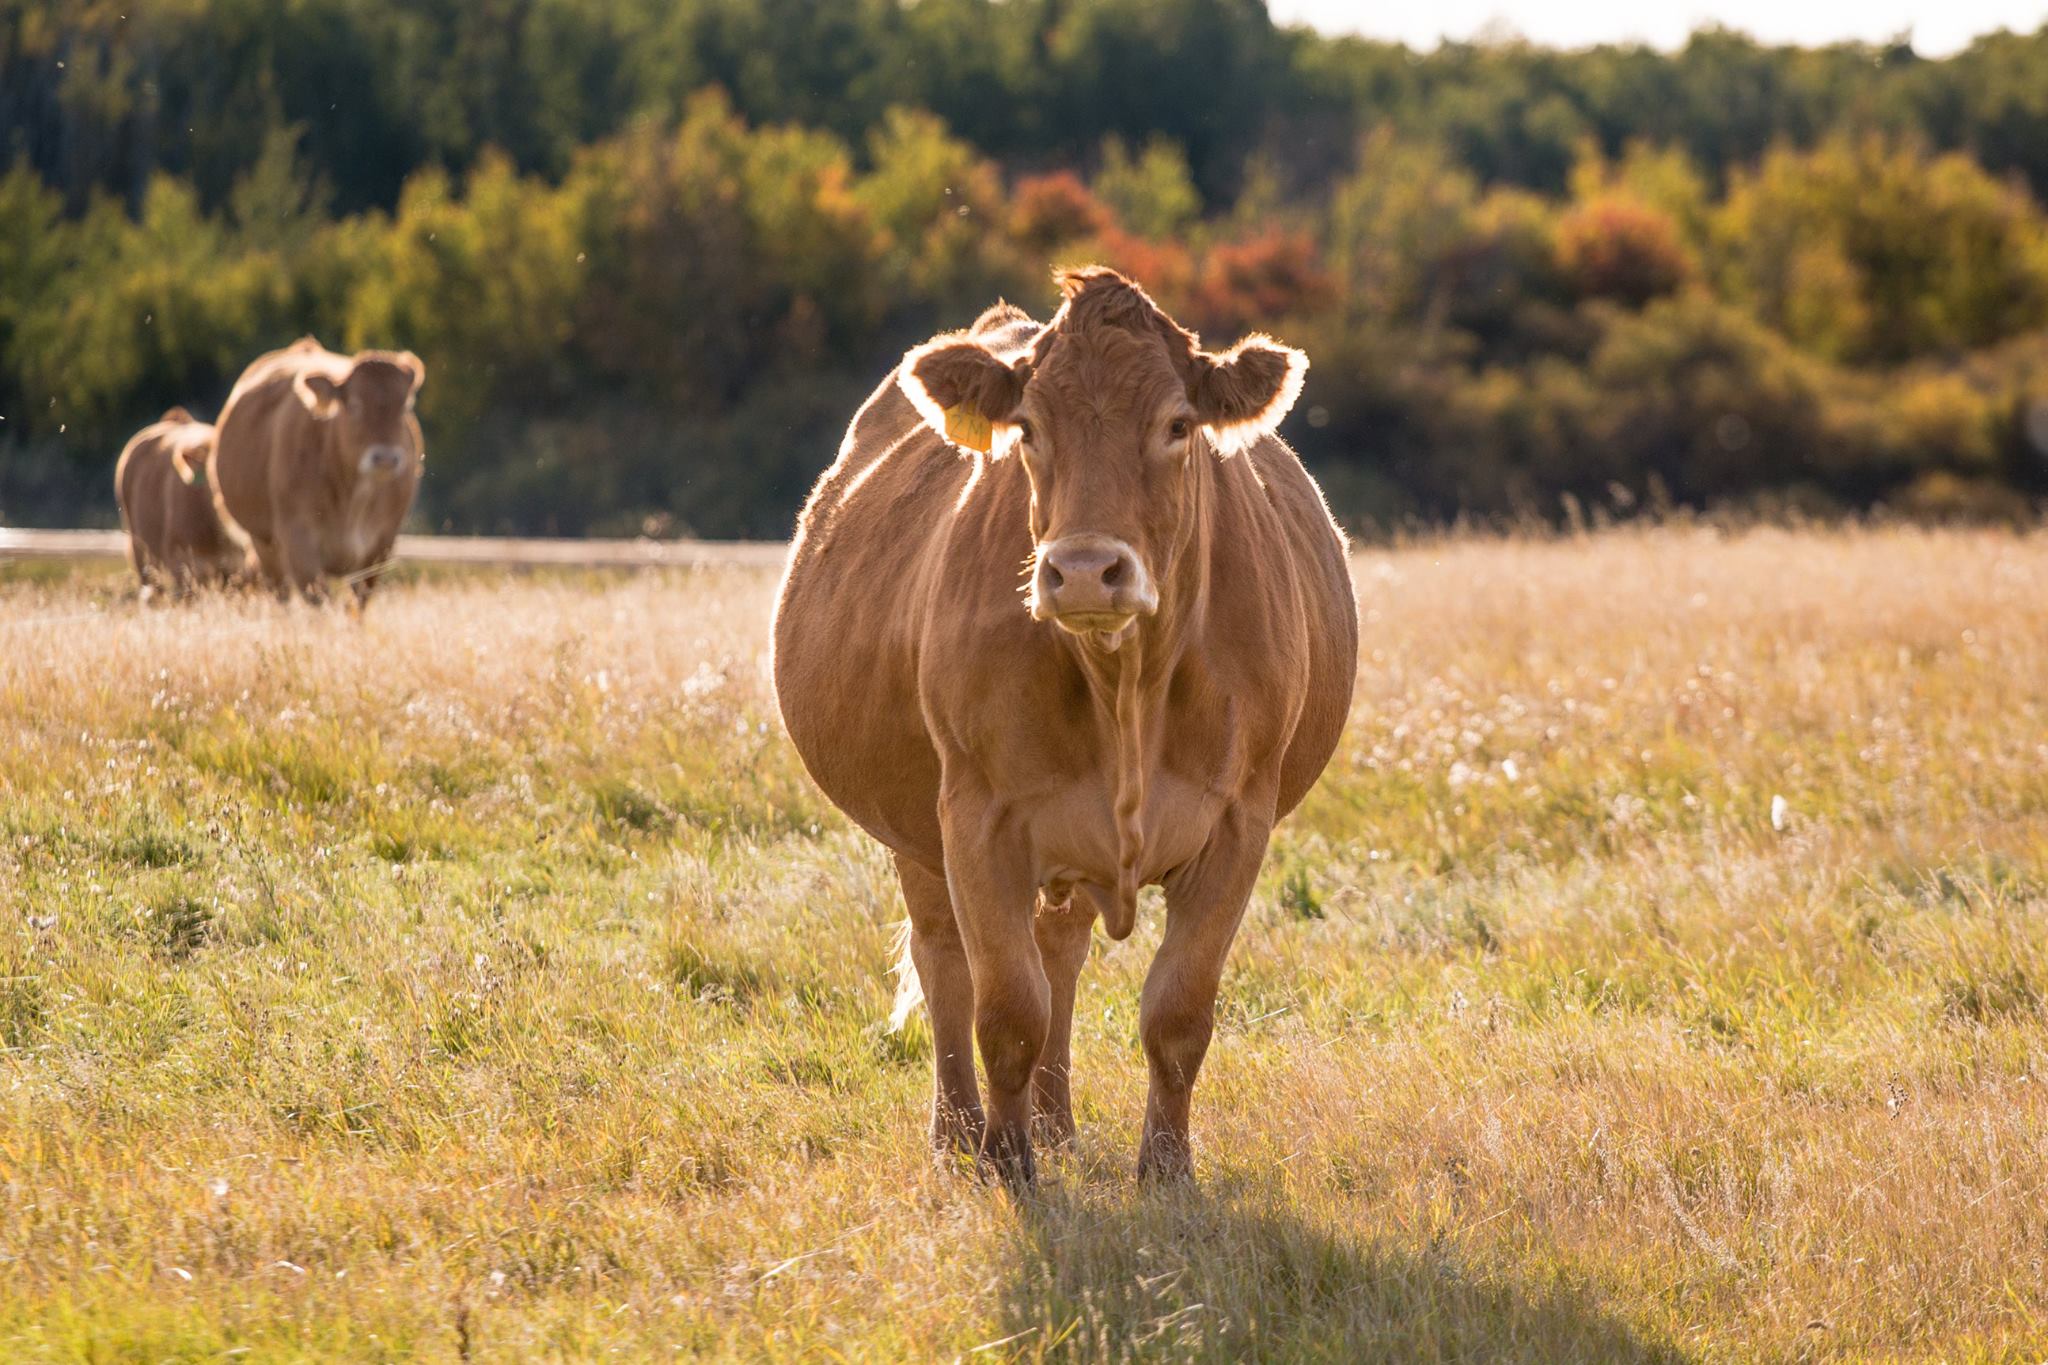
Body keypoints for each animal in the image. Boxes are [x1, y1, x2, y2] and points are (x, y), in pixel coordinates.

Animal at [210, 336, 425, 610]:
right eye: (354, 405)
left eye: (405, 405)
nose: (385, 458)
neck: (352, 500)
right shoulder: (298, 539)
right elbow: (318, 600)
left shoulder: (381, 544)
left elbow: (359, 602)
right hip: (263, 541)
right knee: (279, 591)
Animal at [773, 268, 1357, 1187]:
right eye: (1027, 428)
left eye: (1178, 425)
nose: (1084, 570)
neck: (1125, 685)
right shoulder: (977, 816)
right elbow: (1007, 1008)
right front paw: (1009, 1166)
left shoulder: (1240, 821)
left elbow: (1177, 1013)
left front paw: (1167, 1172)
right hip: (916, 831)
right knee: (946, 963)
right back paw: (959, 1135)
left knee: (1060, 952)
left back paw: (1056, 1125)